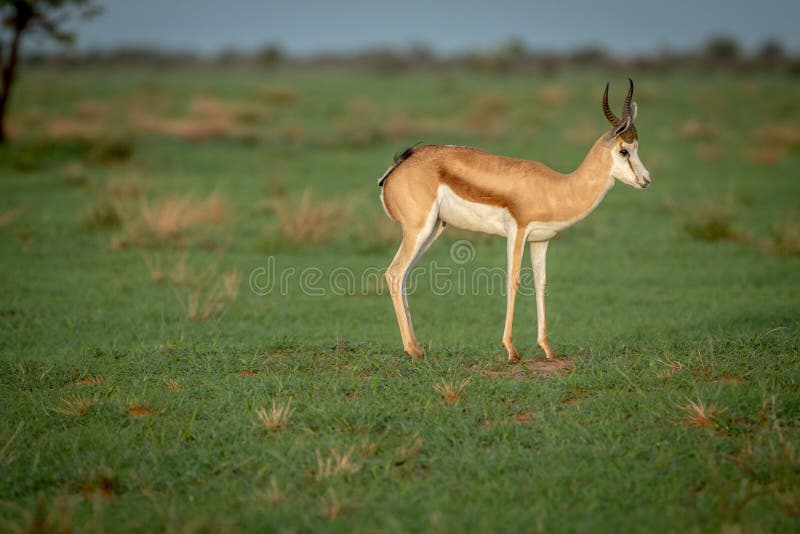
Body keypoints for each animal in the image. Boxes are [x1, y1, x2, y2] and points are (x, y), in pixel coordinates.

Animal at [378, 79, 651, 362]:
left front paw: (547, 348)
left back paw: (417, 346)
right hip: (417, 229)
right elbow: (514, 280)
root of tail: (398, 166)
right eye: (624, 151)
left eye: (636, 149)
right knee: (394, 273)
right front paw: (511, 349)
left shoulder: (541, 240)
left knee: (404, 275)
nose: (646, 180)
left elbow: (541, 283)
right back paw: (412, 350)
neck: (555, 188)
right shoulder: (517, 231)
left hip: (433, 229)